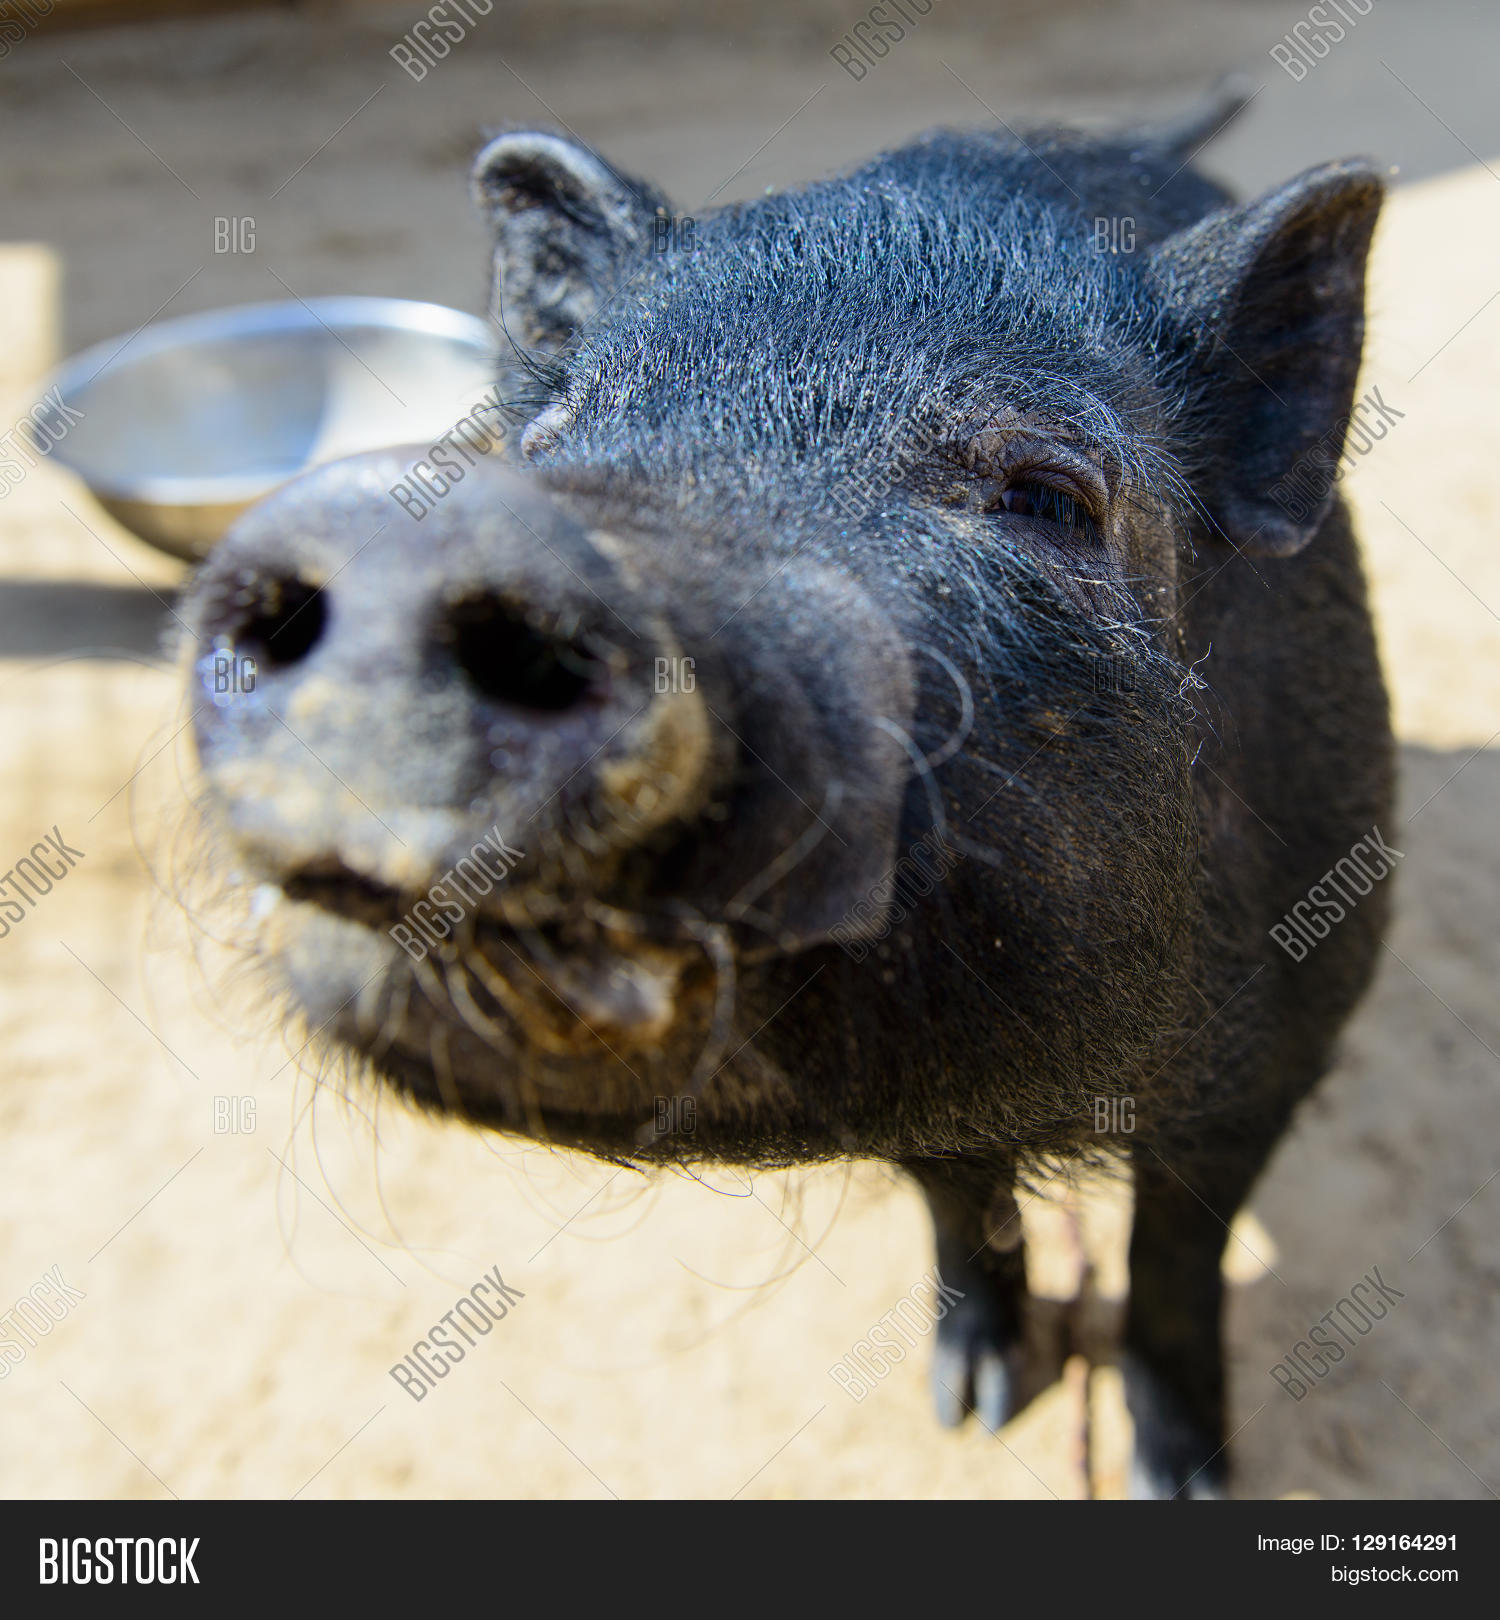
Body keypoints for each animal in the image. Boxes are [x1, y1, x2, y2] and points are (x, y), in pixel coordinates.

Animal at [182, 91, 1393, 1498]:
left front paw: (1180, 1483)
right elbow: (954, 1196)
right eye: (546, 445)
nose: (398, 534)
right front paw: (974, 1406)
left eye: (1048, 496)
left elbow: (1178, 1257)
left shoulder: (1295, 1021)